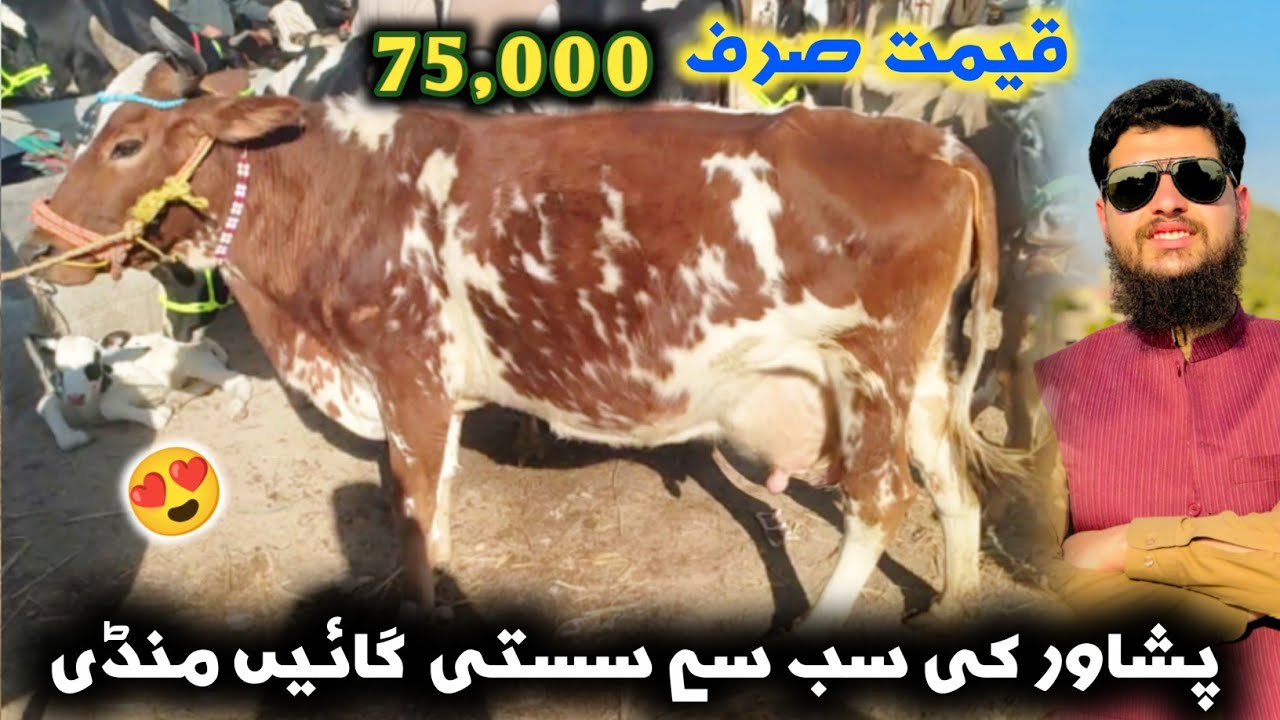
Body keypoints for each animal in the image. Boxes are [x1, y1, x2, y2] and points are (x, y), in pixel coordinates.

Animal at [15, 50, 1033, 632]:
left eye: (127, 145)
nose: (30, 246)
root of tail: (937, 144)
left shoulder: (408, 377)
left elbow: (411, 511)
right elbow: (436, 509)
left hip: (868, 370)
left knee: (883, 500)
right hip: (921, 375)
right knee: (950, 479)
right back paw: (955, 599)